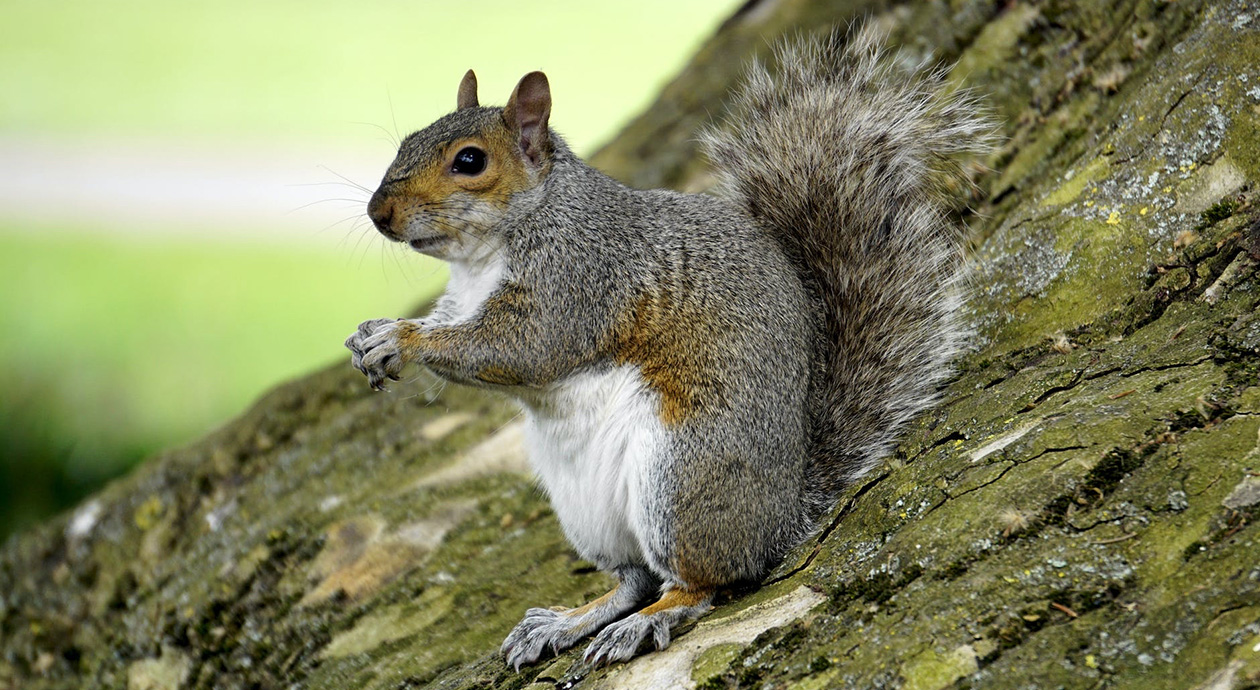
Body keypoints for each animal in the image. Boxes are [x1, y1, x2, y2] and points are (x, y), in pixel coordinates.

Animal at [345, 27, 993, 669]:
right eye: (408, 140)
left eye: (470, 161)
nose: (379, 213)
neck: (490, 251)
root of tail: (781, 516)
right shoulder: (465, 299)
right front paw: (371, 335)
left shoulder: (577, 282)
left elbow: (518, 349)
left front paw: (403, 340)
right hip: (588, 510)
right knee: (634, 579)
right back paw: (570, 620)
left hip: (680, 477)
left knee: (701, 583)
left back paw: (646, 622)